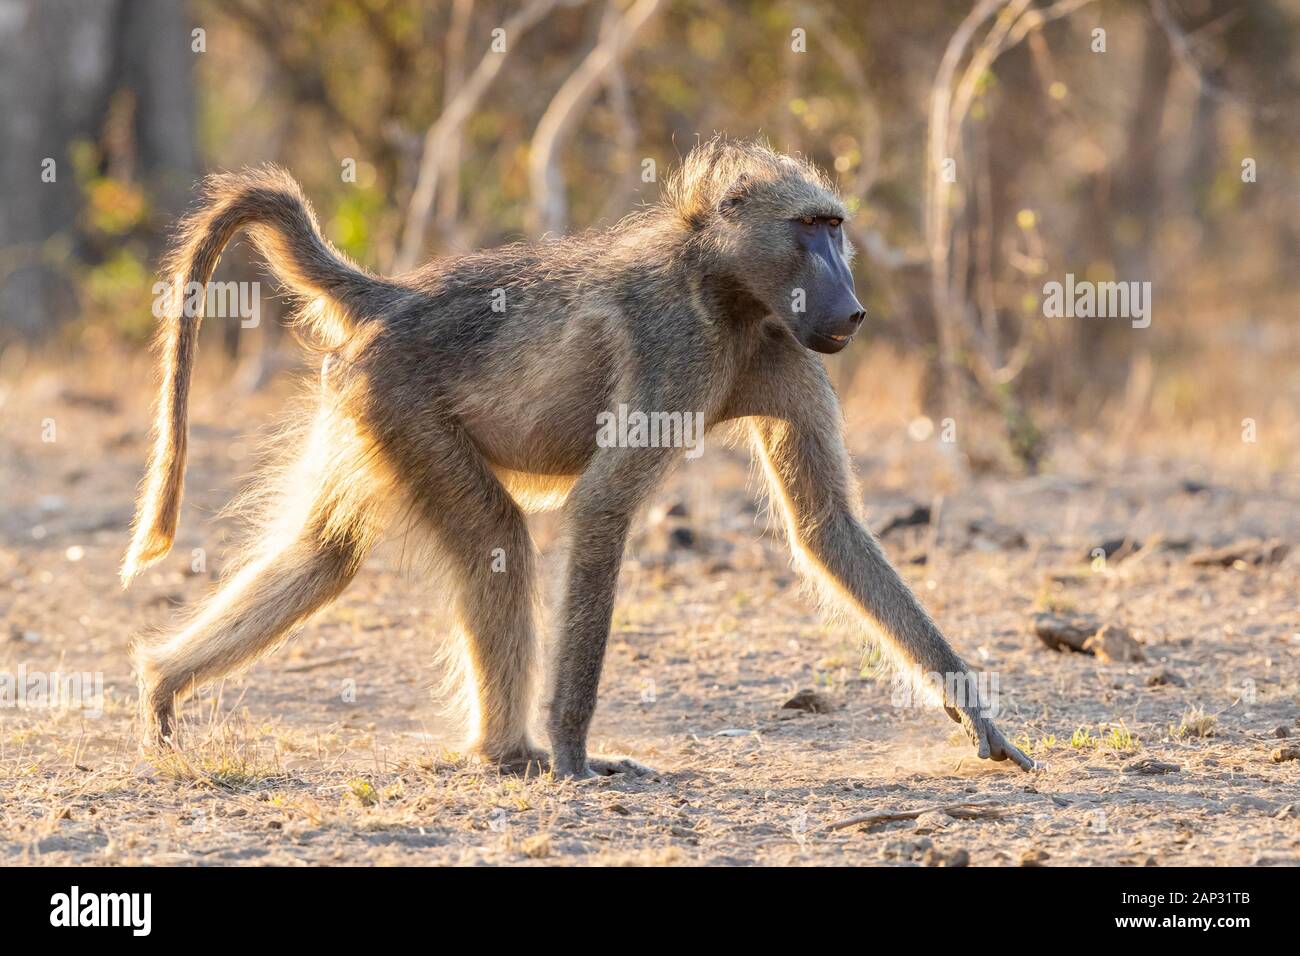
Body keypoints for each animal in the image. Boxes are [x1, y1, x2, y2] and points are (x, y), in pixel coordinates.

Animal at [122, 138, 1035, 778]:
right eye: (810, 229)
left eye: (835, 228)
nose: (851, 309)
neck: (726, 289)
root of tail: (394, 295)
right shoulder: (677, 345)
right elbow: (602, 504)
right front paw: (572, 753)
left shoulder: (790, 354)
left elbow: (827, 529)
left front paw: (981, 720)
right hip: (401, 406)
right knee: (494, 539)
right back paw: (514, 754)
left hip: (365, 410)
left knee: (325, 555)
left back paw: (163, 683)